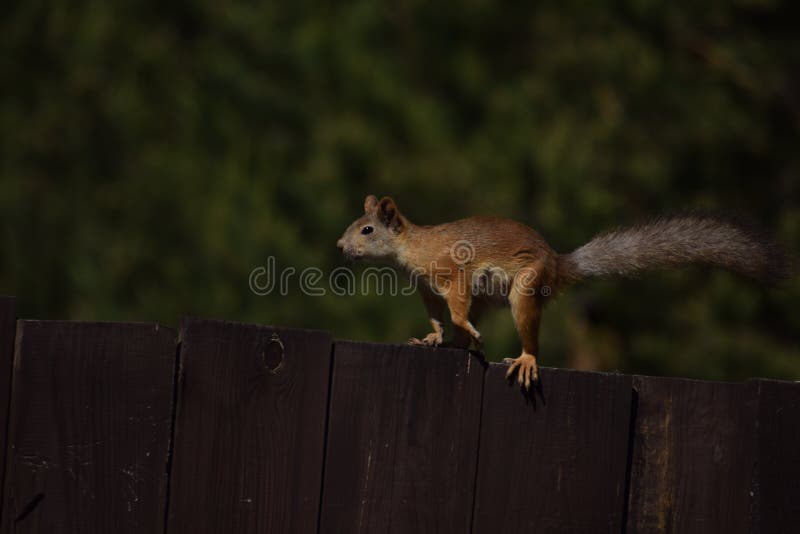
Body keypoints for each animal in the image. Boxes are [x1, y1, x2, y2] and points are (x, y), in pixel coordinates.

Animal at [337, 194, 791, 389]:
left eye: (367, 229)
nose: (341, 246)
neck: (412, 247)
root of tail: (557, 263)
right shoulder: (428, 291)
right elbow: (437, 317)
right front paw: (431, 338)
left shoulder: (455, 274)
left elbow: (457, 307)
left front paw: (455, 328)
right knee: (469, 335)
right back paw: (460, 345)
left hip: (525, 288)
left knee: (523, 332)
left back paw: (524, 358)